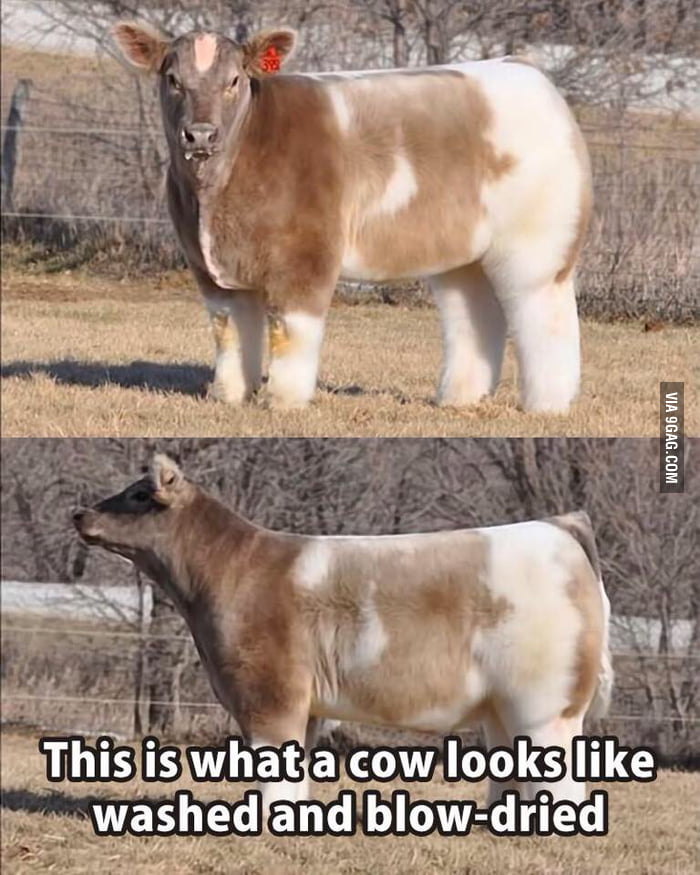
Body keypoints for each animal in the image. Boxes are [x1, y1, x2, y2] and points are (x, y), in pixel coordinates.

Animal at [73, 454, 613, 810]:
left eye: (140, 495)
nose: (80, 512)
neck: (231, 571)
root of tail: (557, 527)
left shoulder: (269, 694)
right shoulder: (304, 703)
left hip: (544, 706)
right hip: (502, 708)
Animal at [112, 22, 591, 413]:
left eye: (234, 80)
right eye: (173, 80)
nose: (200, 134)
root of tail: (526, 70)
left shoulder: (306, 255)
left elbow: (290, 331)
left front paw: (283, 401)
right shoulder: (208, 267)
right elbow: (229, 332)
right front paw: (229, 396)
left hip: (537, 246)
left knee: (543, 316)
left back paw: (547, 404)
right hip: (464, 253)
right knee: (473, 315)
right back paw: (459, 398)